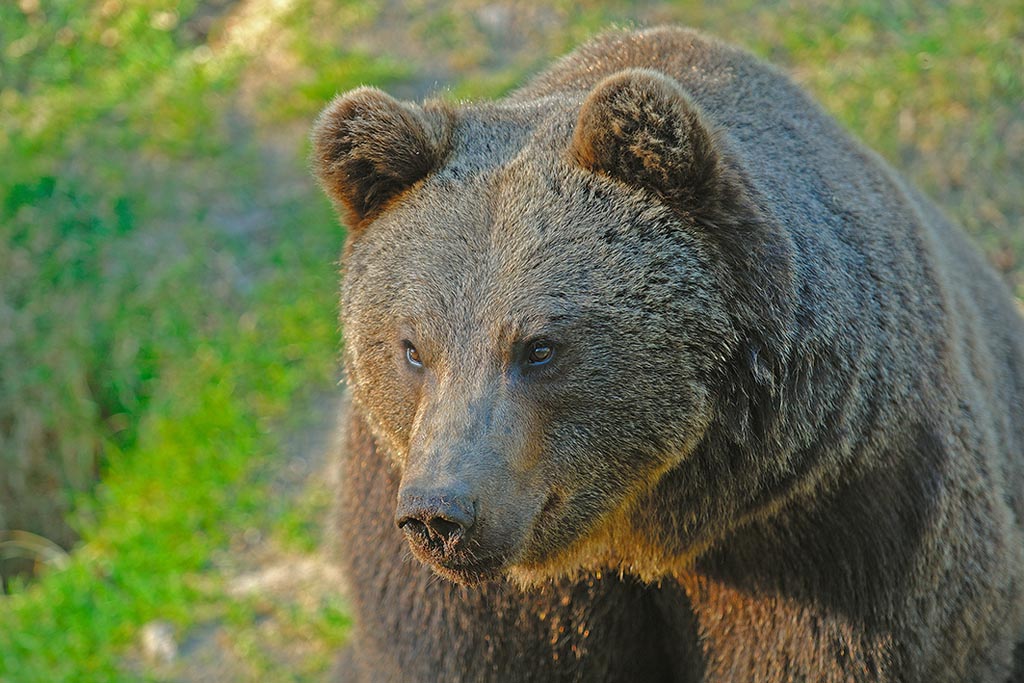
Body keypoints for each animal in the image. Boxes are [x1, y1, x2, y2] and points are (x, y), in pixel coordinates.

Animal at [312, 26, 1024, 682]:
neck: (638, 527)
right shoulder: (444, 581)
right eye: (412, 348)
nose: (442, 514)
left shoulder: (841, 530)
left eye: (539, 348)